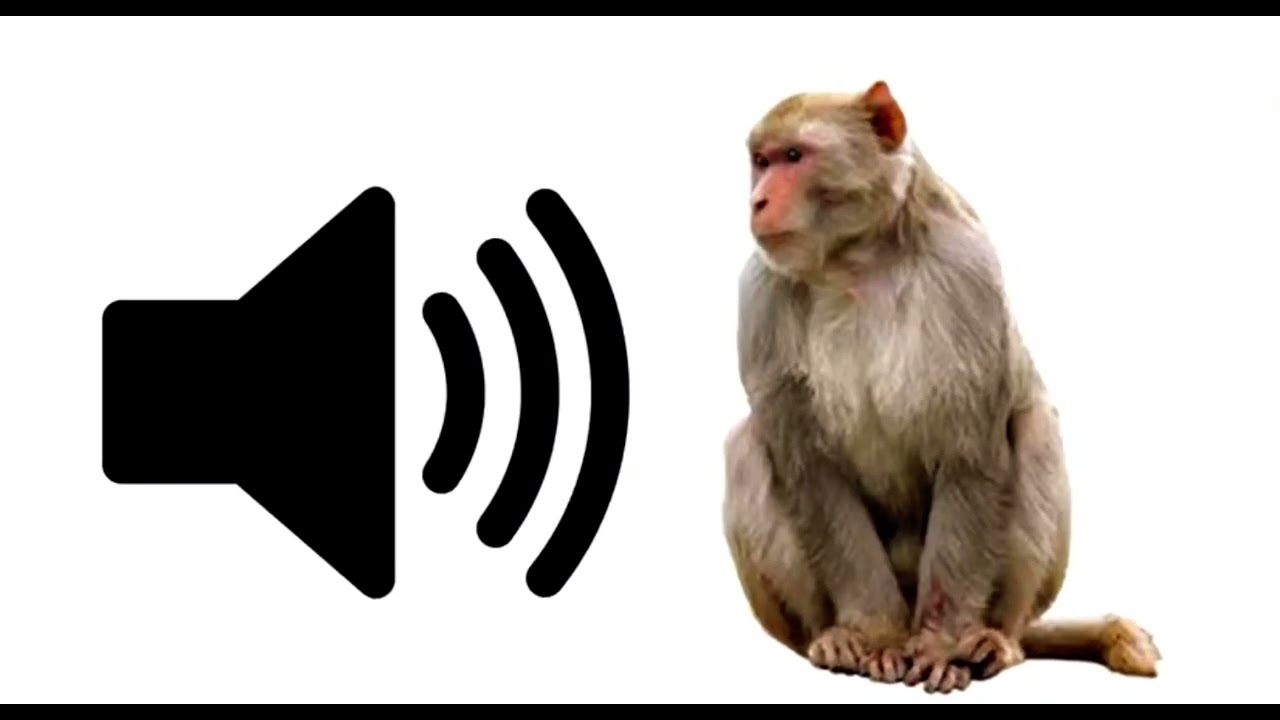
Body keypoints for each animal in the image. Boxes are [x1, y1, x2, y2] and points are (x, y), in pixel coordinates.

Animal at [722, 80, 1161, 694]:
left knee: (1034, 429)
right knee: (747, 445)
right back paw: (831, 637)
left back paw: (994, 640)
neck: (857, 261)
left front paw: (939, 645)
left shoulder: (968, 274)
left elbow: (970, 456)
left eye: (793, 156)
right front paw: (875, 636)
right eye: (760, 162)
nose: (757, 201)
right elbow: (811, 470)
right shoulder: (760, 294)